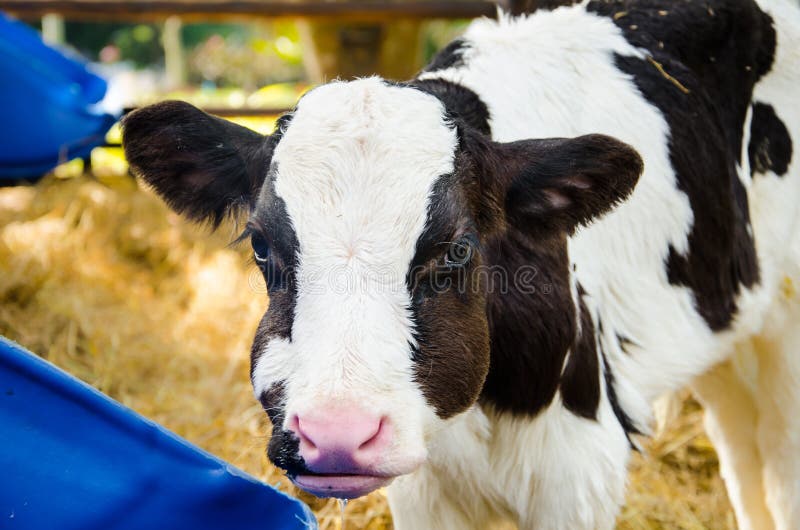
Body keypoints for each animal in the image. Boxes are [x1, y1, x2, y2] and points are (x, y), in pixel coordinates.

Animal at [121, 0, 799, 528]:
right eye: (261, 244)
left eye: (459, 249)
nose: (339, 434)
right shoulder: (424, 492)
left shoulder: (577, 472)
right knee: (741, 443)